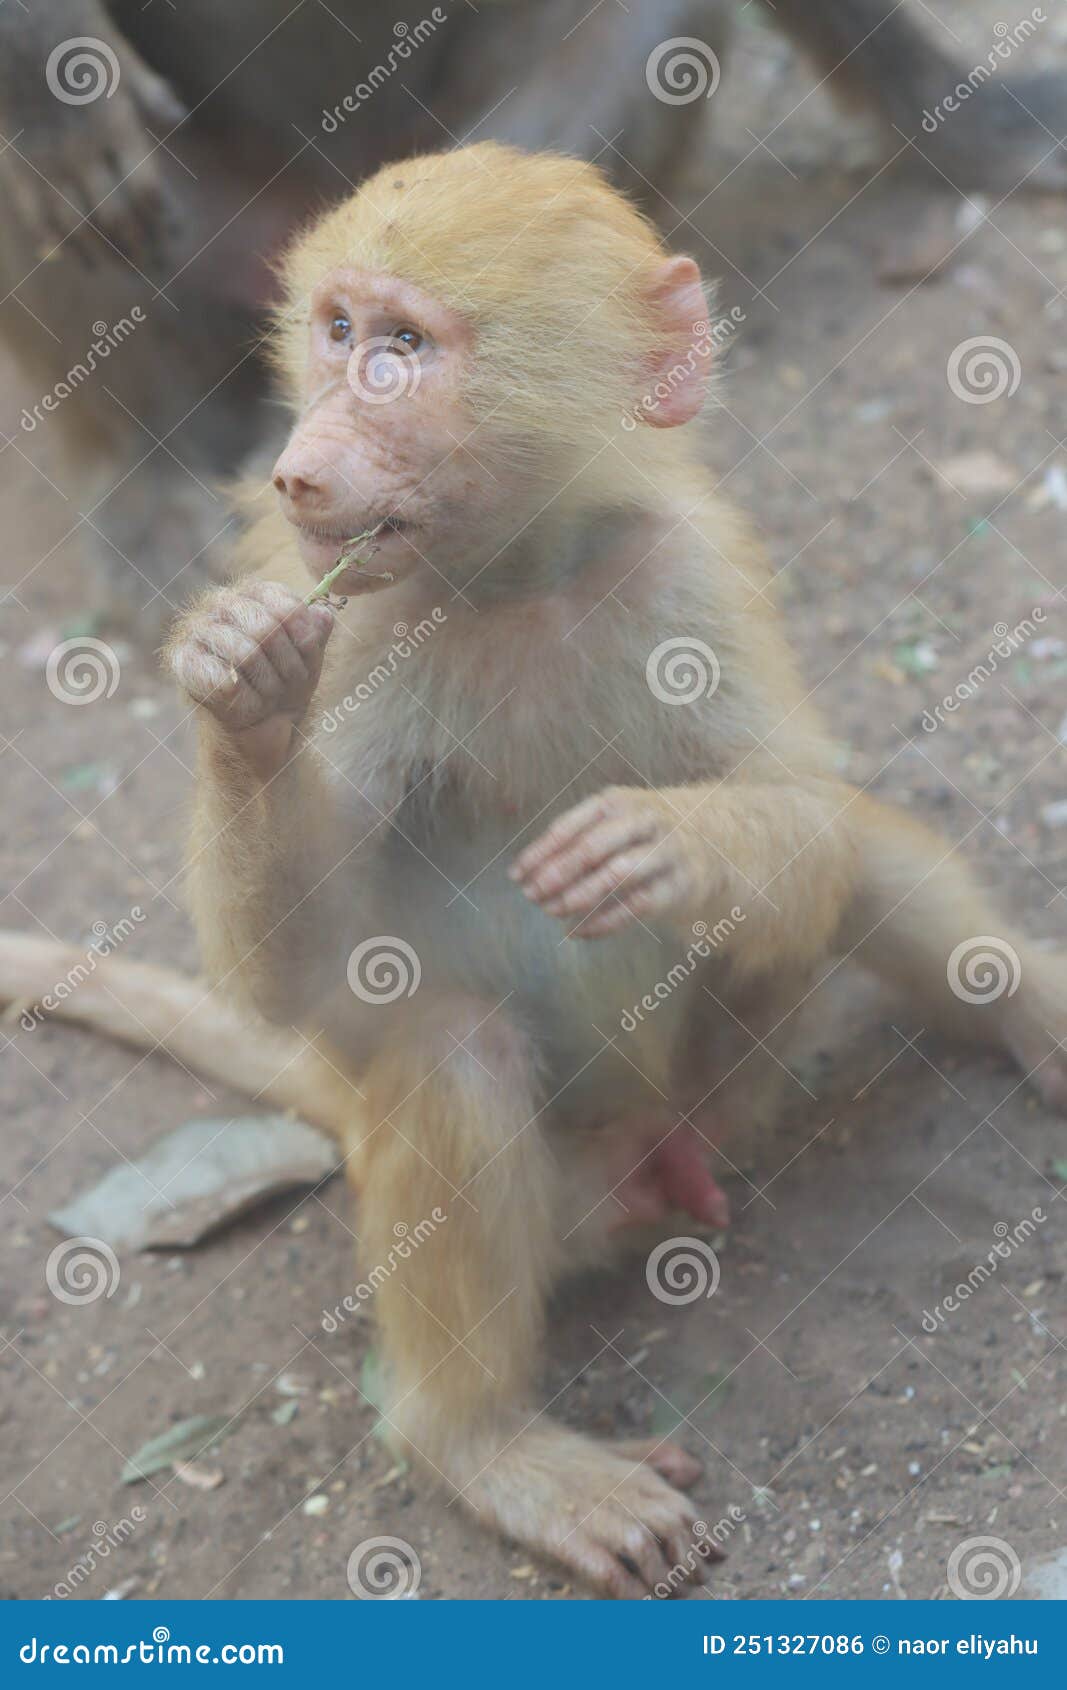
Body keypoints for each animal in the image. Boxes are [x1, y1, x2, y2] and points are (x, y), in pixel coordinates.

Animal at [155, 142, 1067, 1597]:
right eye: (337, 332)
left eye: (405, 349)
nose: (299, 471)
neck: (511, 574)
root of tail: (663, 1165)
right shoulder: (351, 624)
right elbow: (302, 977)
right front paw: (239, 689)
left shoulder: (684, 558)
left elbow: (800, 813)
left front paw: (664, 846)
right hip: (565, 1203)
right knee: (451, 1051)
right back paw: (481, 1442)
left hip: (733, 1085)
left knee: (849, 857)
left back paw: (1026, 1010)